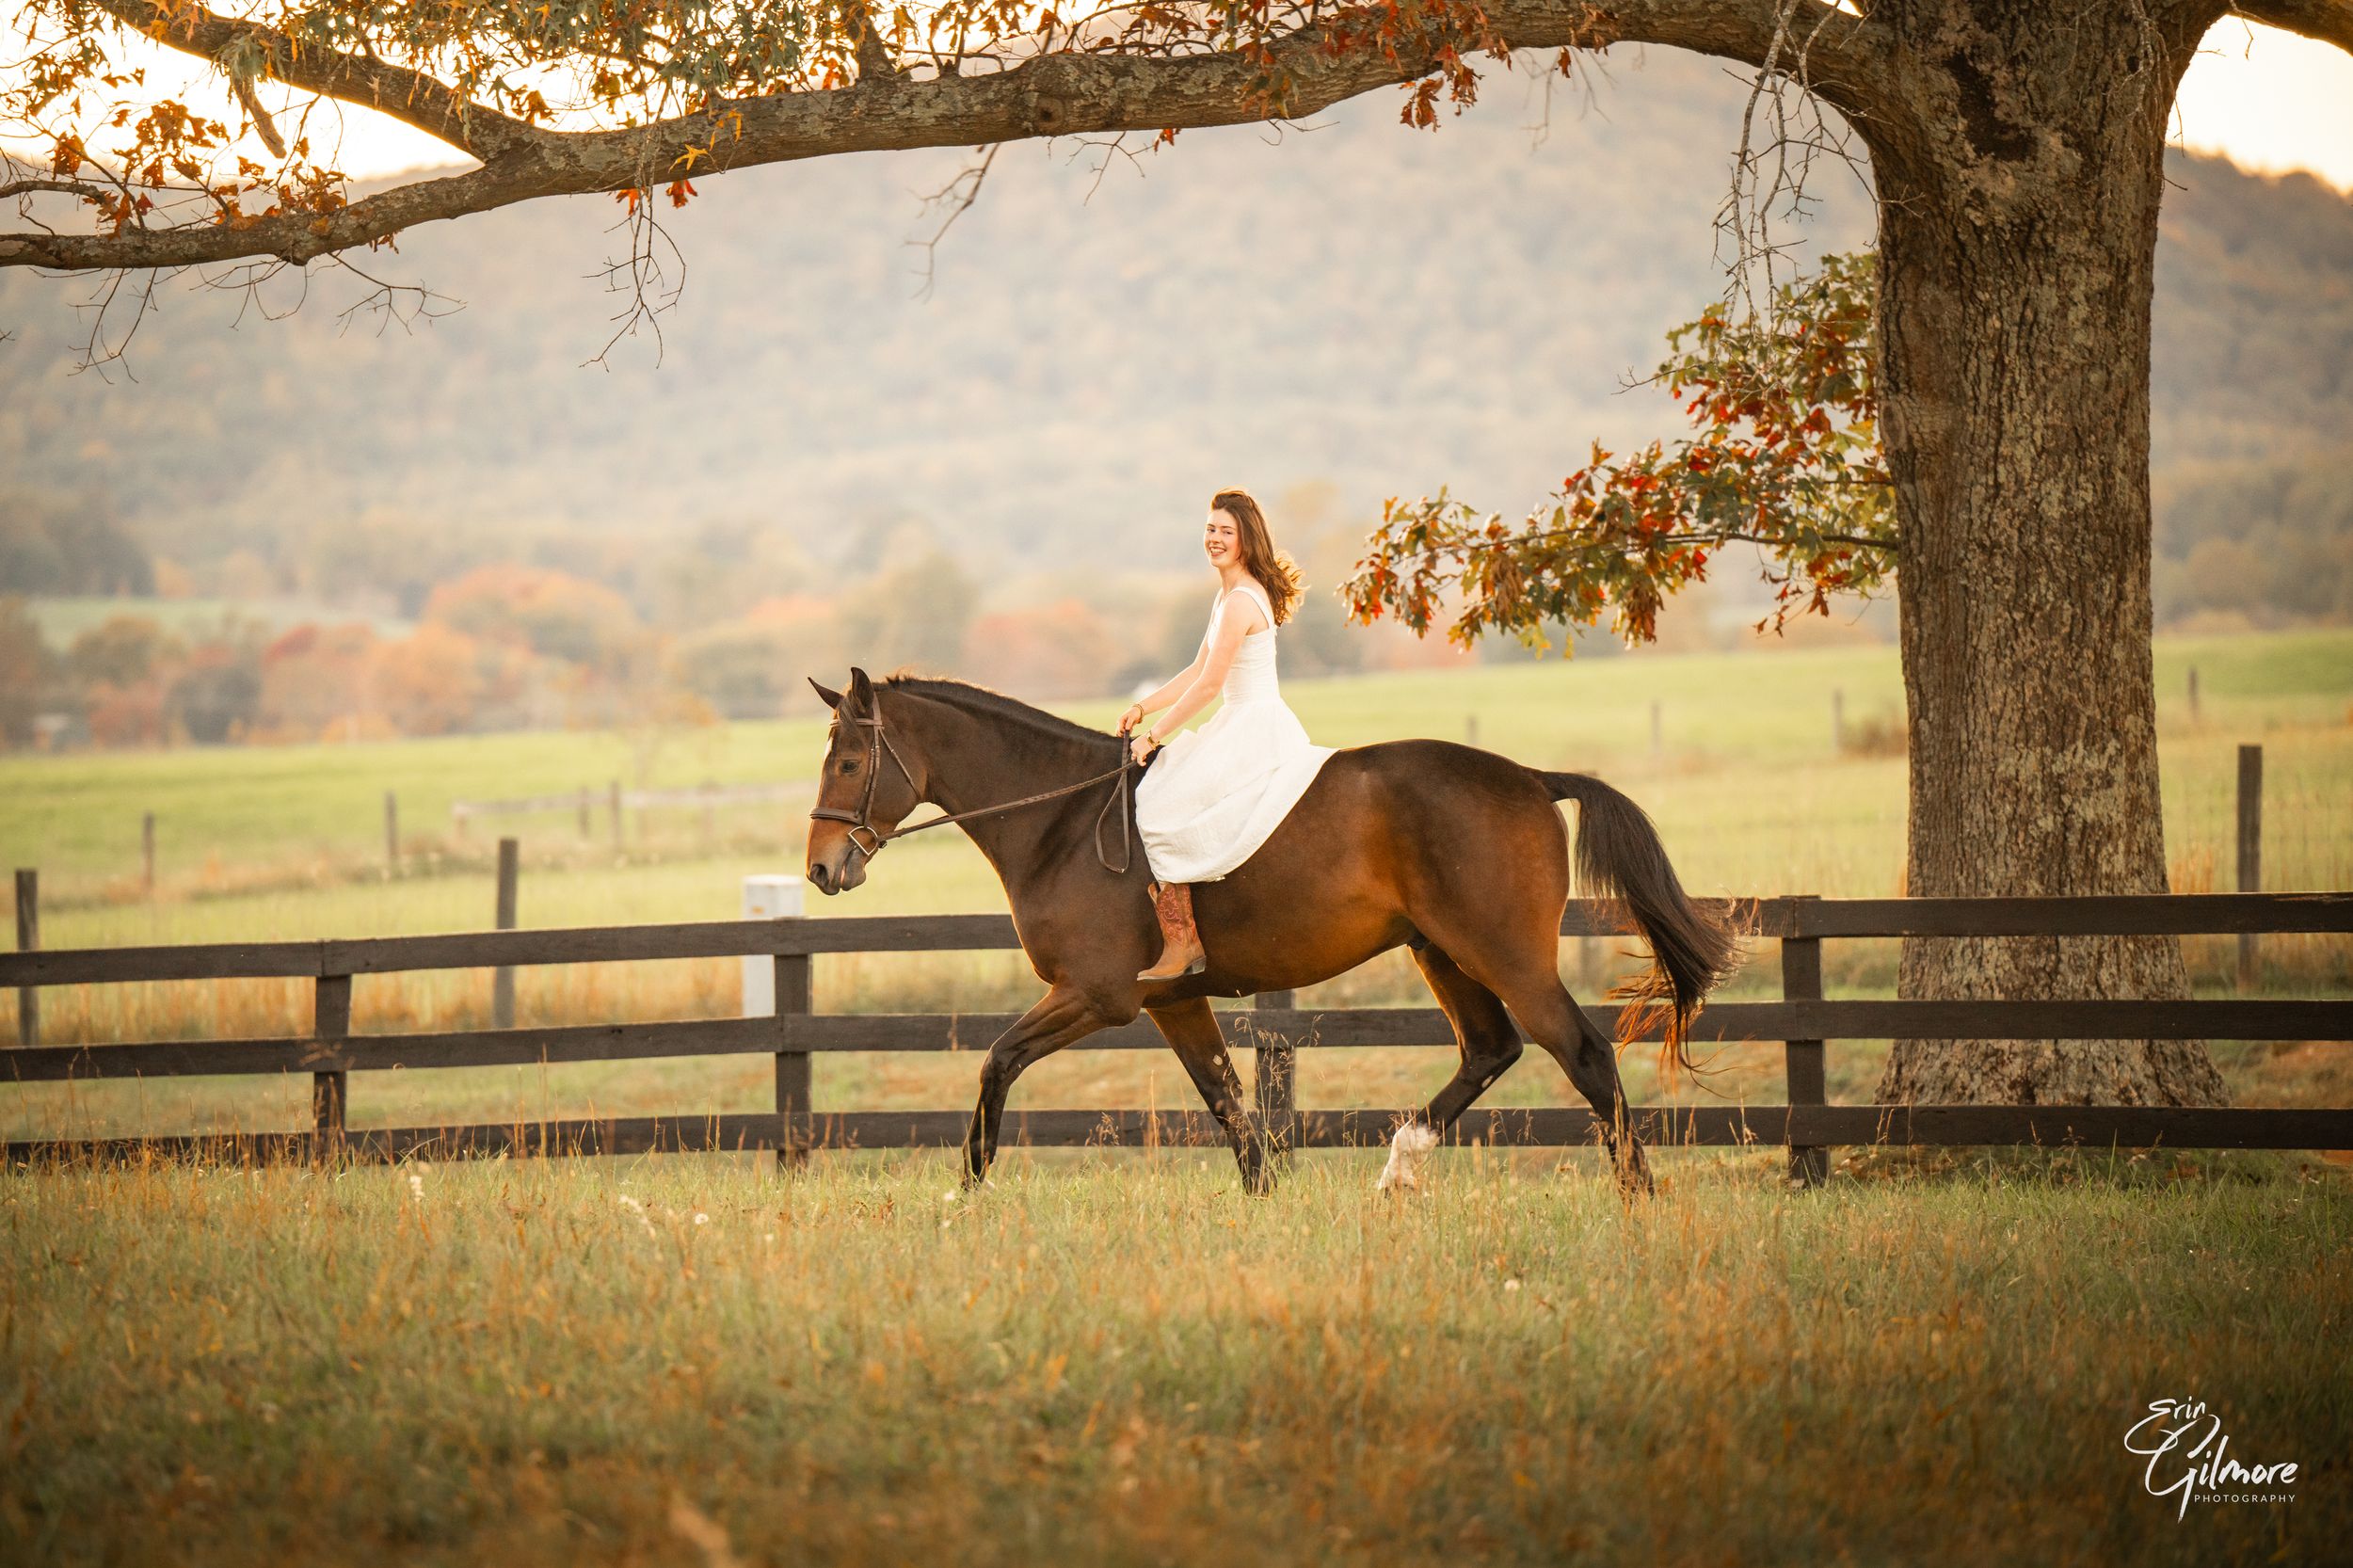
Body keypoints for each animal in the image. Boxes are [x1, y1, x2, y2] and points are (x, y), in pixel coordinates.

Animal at [802, 668, 1737, 1197]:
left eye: (847, 762)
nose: (819, 868)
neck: (1060, 821)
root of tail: (1533, 779)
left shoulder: (1096, 996)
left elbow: (997, 1061)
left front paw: (965, 1190)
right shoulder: (1172, 1002)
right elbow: (1226, 1099)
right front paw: (1264, 1202)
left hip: (1505, 956)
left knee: (1581, 1053)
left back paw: (1638, 1197)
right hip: (1441, 952)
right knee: (1489, 1049)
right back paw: (1398, 1166)